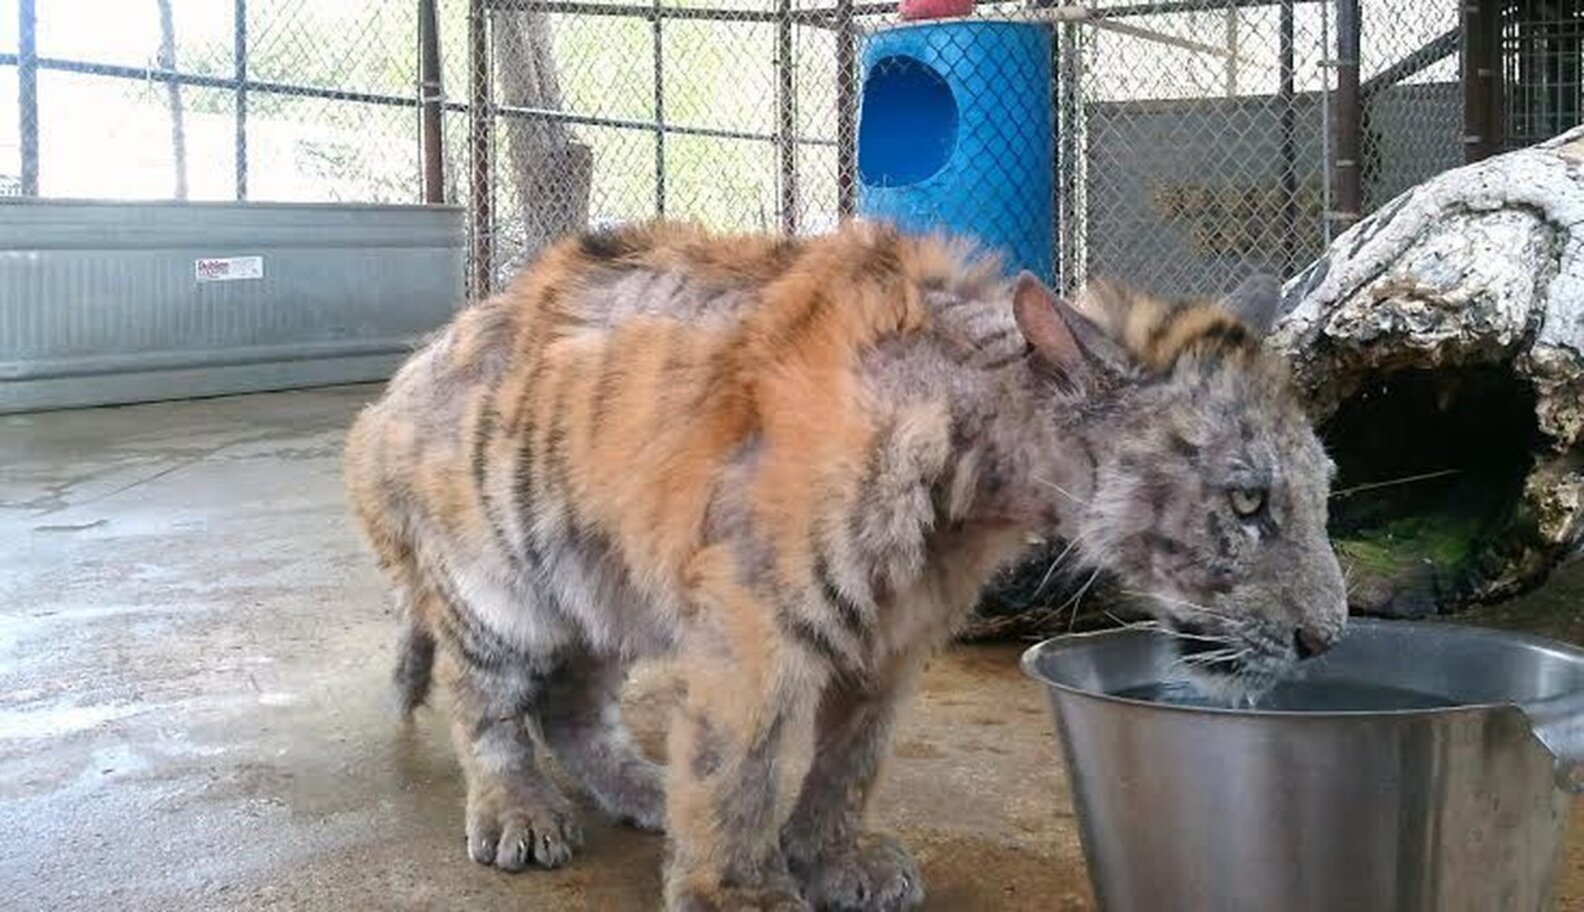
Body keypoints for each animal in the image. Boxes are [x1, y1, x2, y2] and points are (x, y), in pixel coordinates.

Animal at [343, 219, 1346, 911]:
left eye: (1322, 488)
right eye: (1248, 502)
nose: (1326, 638)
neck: (979, 475)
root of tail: (392, 393)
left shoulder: (893, 635)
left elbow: (849, 759)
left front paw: (832, 860)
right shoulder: (755, 622)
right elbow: (740, 763)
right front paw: (738, 893)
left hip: (605, 584)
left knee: (570, 703)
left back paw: (644, 789)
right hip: (498, 582)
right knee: (485, 702)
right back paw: (520, 815)